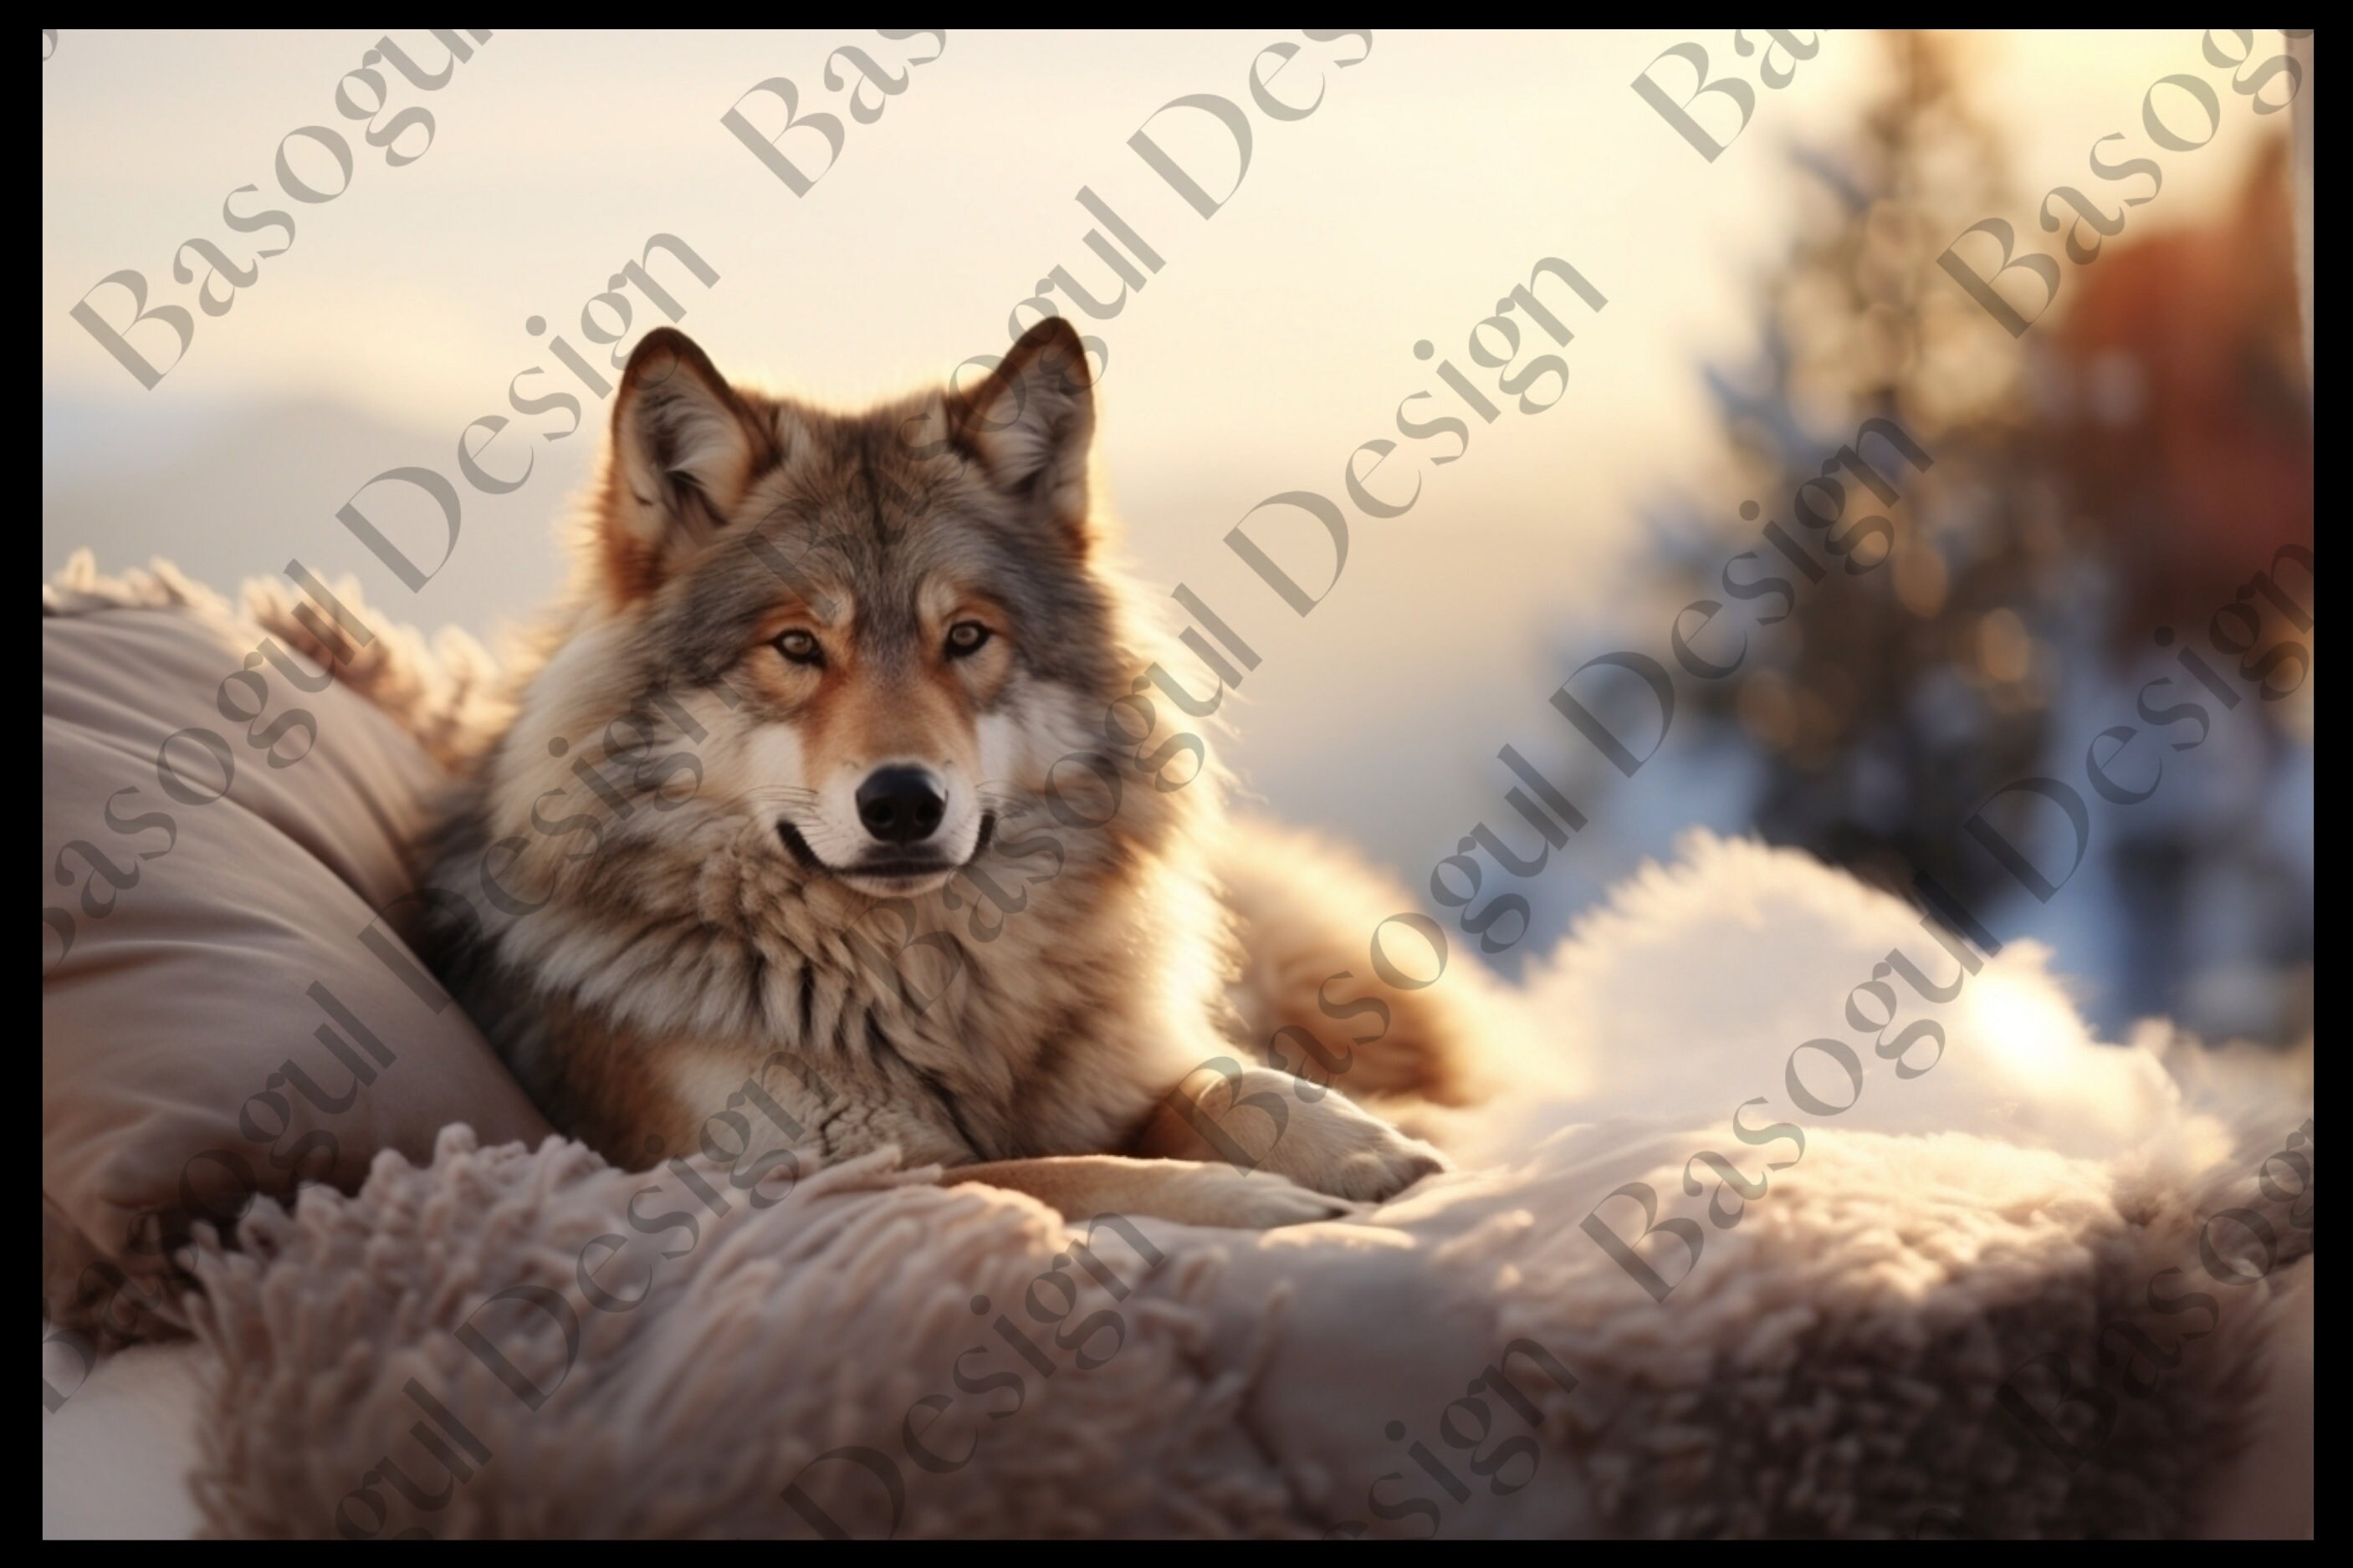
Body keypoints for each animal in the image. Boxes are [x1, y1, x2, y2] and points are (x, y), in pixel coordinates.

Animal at [309, 317, 1495, 1228]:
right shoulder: (816, 1177)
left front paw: (1352, 1141)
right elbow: (1067, 1171)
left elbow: (1211, 1080)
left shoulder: (1129, 1066)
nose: (901, 803)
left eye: (964, 638)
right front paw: (1272, 1202)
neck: (923, 978)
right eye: (797, 647)